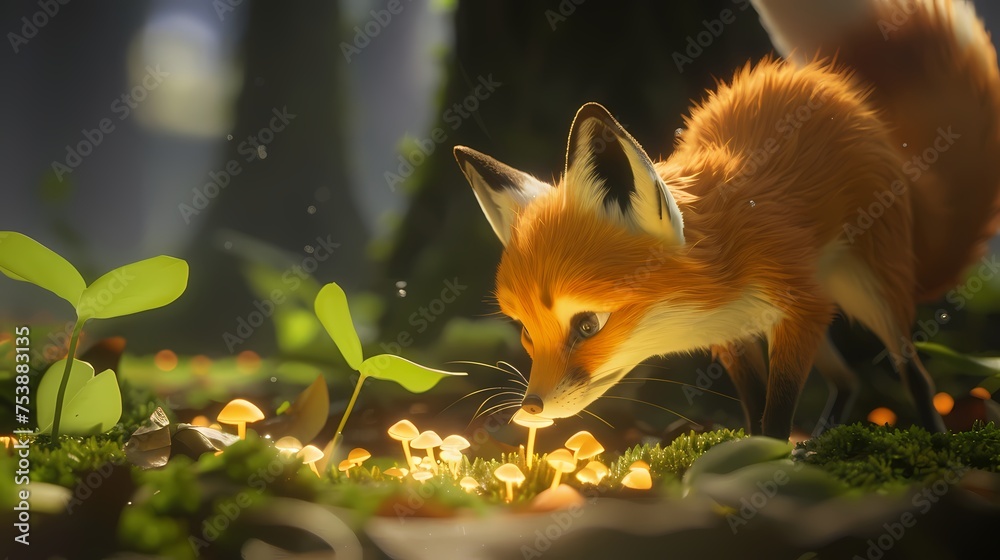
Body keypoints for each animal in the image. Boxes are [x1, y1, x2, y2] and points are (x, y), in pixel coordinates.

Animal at [453, 0, 1000, 440]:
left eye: (587, 325)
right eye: (526, 332)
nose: (531, 408)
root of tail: (838, 88)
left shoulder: (797, 309)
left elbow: (777, 414)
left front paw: (769, 460)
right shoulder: (736, 334)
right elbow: (755, 408)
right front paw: (753, 451)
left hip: (865, 291)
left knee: (913, 373)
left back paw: (934, 439)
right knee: (850, 380)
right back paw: (820, 440)